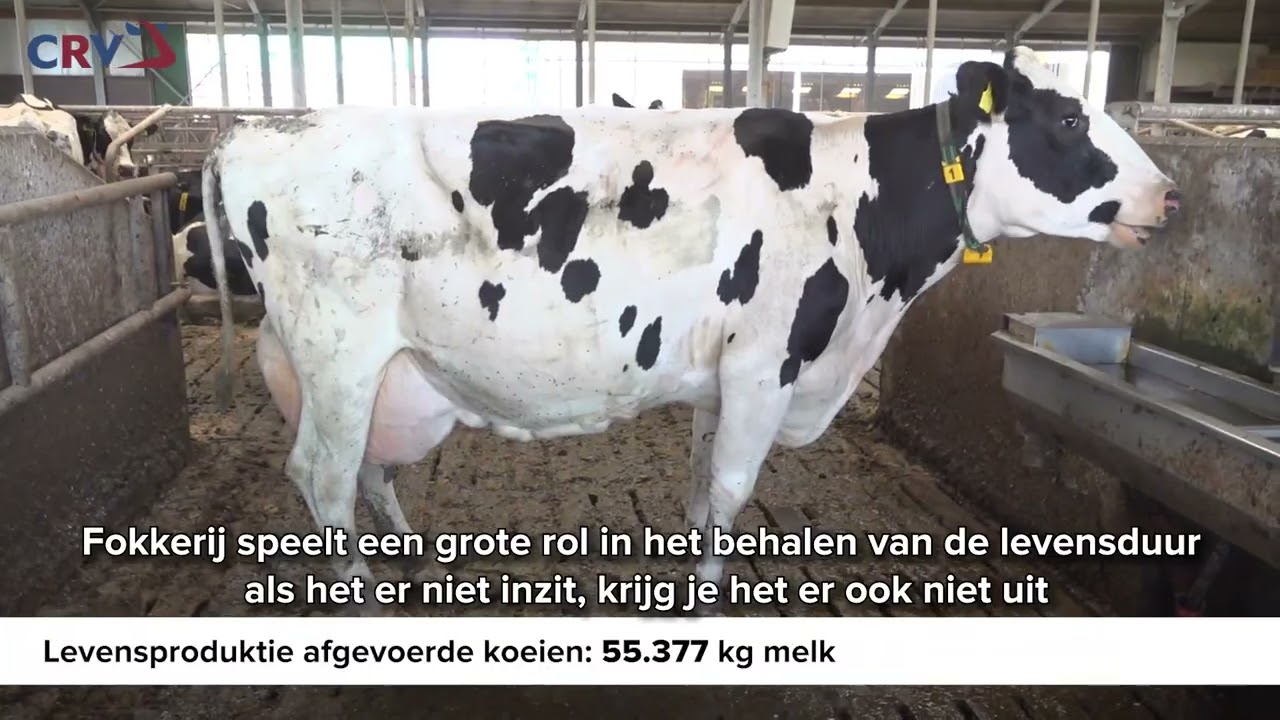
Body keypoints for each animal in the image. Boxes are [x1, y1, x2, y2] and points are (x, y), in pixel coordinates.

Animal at [199, 46, 1181, 613]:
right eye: (1069, 118)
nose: (1169, 195)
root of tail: (254, 132)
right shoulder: (764, 367)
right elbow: (736, 490)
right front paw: (712, 607)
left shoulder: (722, 375)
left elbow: (703, 489)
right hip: (337, 353)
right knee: (322, 478)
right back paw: (364, 607)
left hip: (371, 372)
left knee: (366, 468)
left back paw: (419, 570)